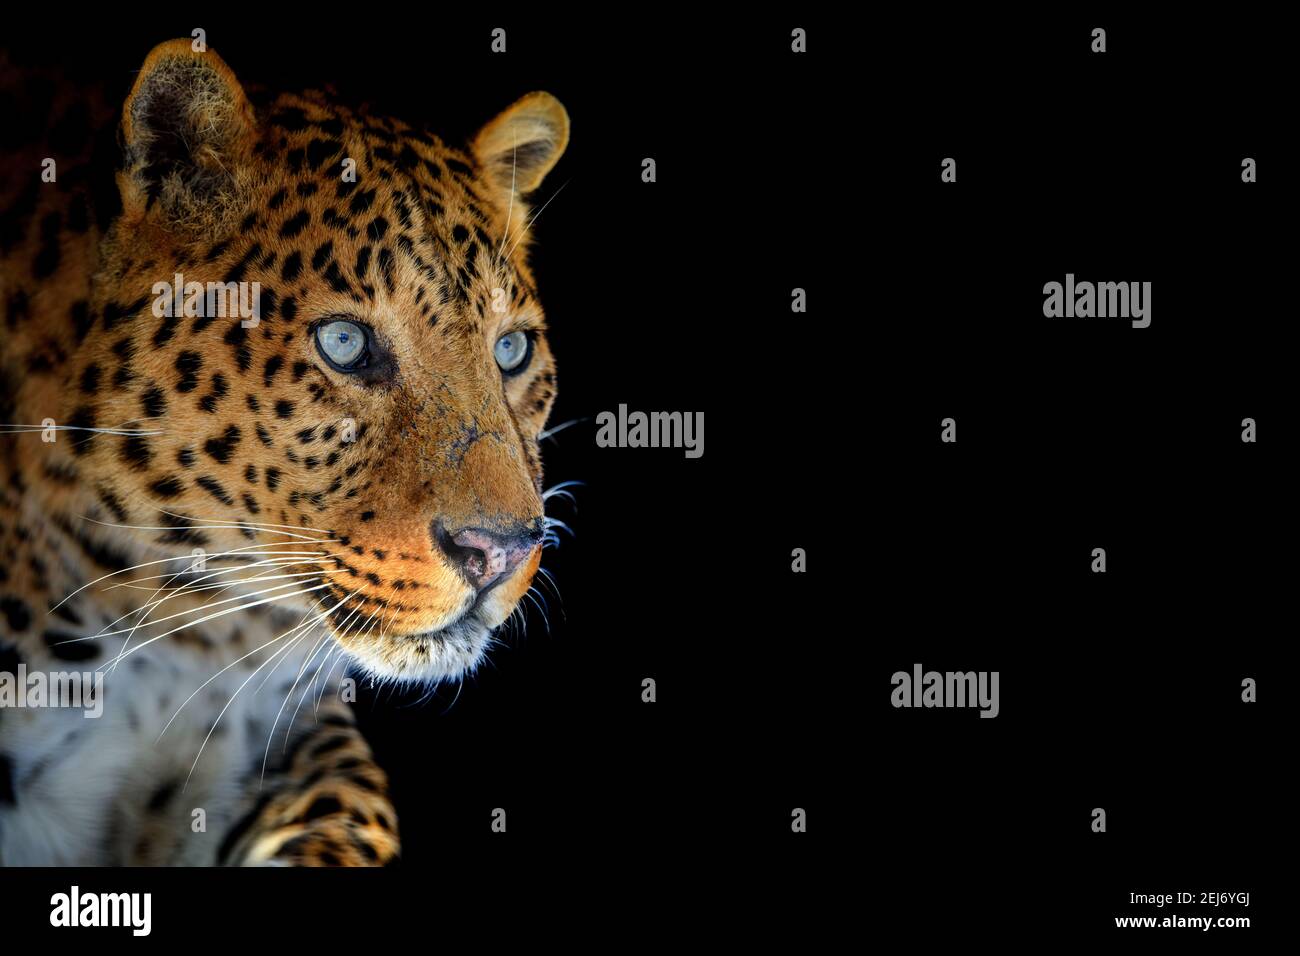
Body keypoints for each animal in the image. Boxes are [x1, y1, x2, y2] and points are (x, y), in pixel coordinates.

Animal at [0, 38, 568, 865]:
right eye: (345, 344)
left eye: (512, 350)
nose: (500, 553)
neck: (185, 628)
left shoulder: (296, 731)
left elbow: (349, 817)